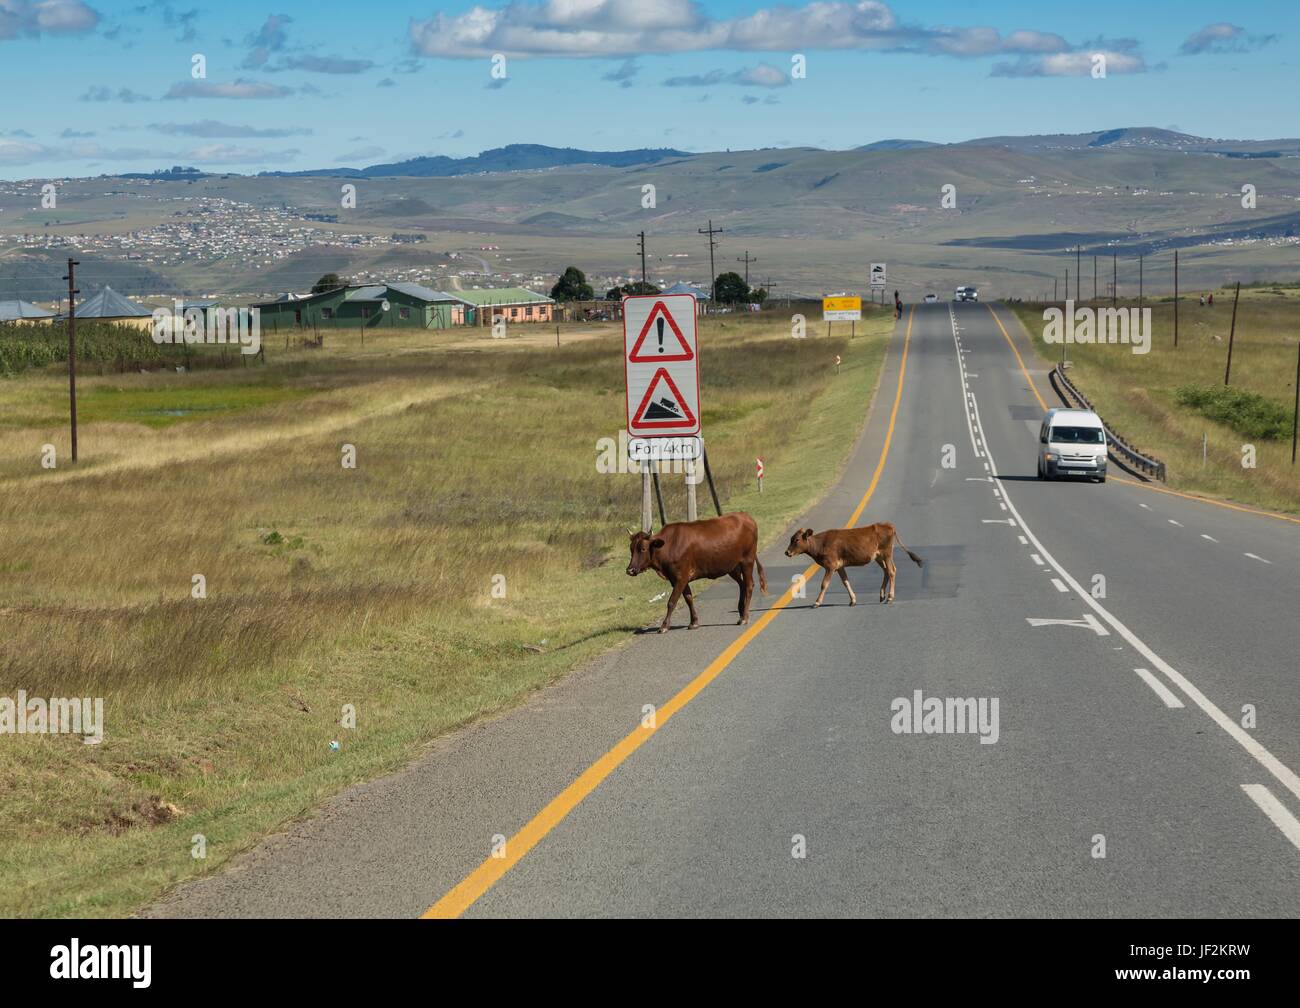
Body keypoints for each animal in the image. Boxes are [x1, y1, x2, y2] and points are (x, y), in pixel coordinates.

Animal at [626, 512, 768, 633]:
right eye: (631, 549)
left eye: (643, 549)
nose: (630, 570)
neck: (668, 546)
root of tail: (746, 517)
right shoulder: (678, 579)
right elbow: (688, 598)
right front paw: (694, 622)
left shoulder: (681, 577)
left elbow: (672, 601)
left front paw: (664, 626)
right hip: (732, 567)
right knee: (742, 584)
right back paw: (741, 612)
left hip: (747, 561)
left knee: (749, 585)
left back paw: (744, 617)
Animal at [784, 522, 923, 606]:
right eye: (790, 539)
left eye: (797, 540)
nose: (787, 552)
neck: (820, 545)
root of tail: (889, 525)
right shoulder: (839, 566)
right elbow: (846, 582)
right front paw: (853, 600)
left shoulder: (830, 565)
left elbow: (824, 584)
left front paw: (817, 602)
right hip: (878, 556)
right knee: (886, 571)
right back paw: (882, 595)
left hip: (887, 553)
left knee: (892, 571)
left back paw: (889, 597)